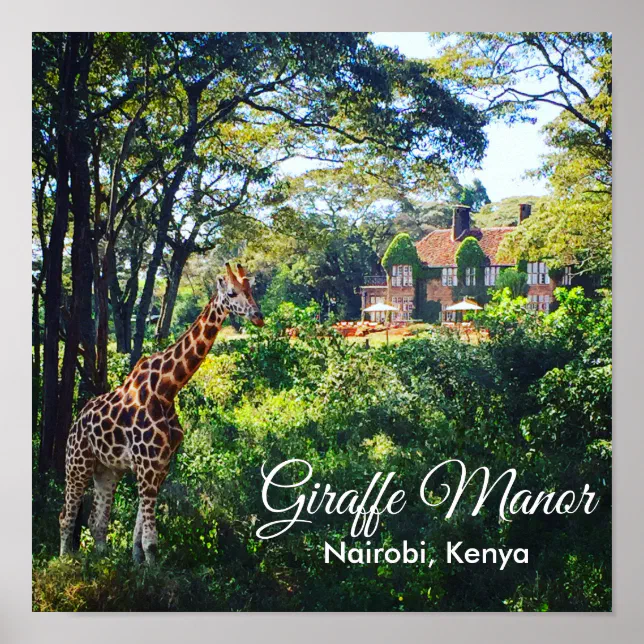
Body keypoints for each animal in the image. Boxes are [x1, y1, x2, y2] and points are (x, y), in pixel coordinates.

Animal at [59, 263, 264, 563]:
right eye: (231, 292)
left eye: (251, 290)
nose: (258, 316)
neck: (167, 389)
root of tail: (74, 424)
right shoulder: (147, 464)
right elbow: (151, 541)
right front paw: (150, 570)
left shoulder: (161, 465)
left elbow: (138, 533)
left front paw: (137, 566)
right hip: (77, 463)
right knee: (66, 515)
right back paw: (65, 560)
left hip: (107, 470)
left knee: (97, 520)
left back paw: (102, 563)